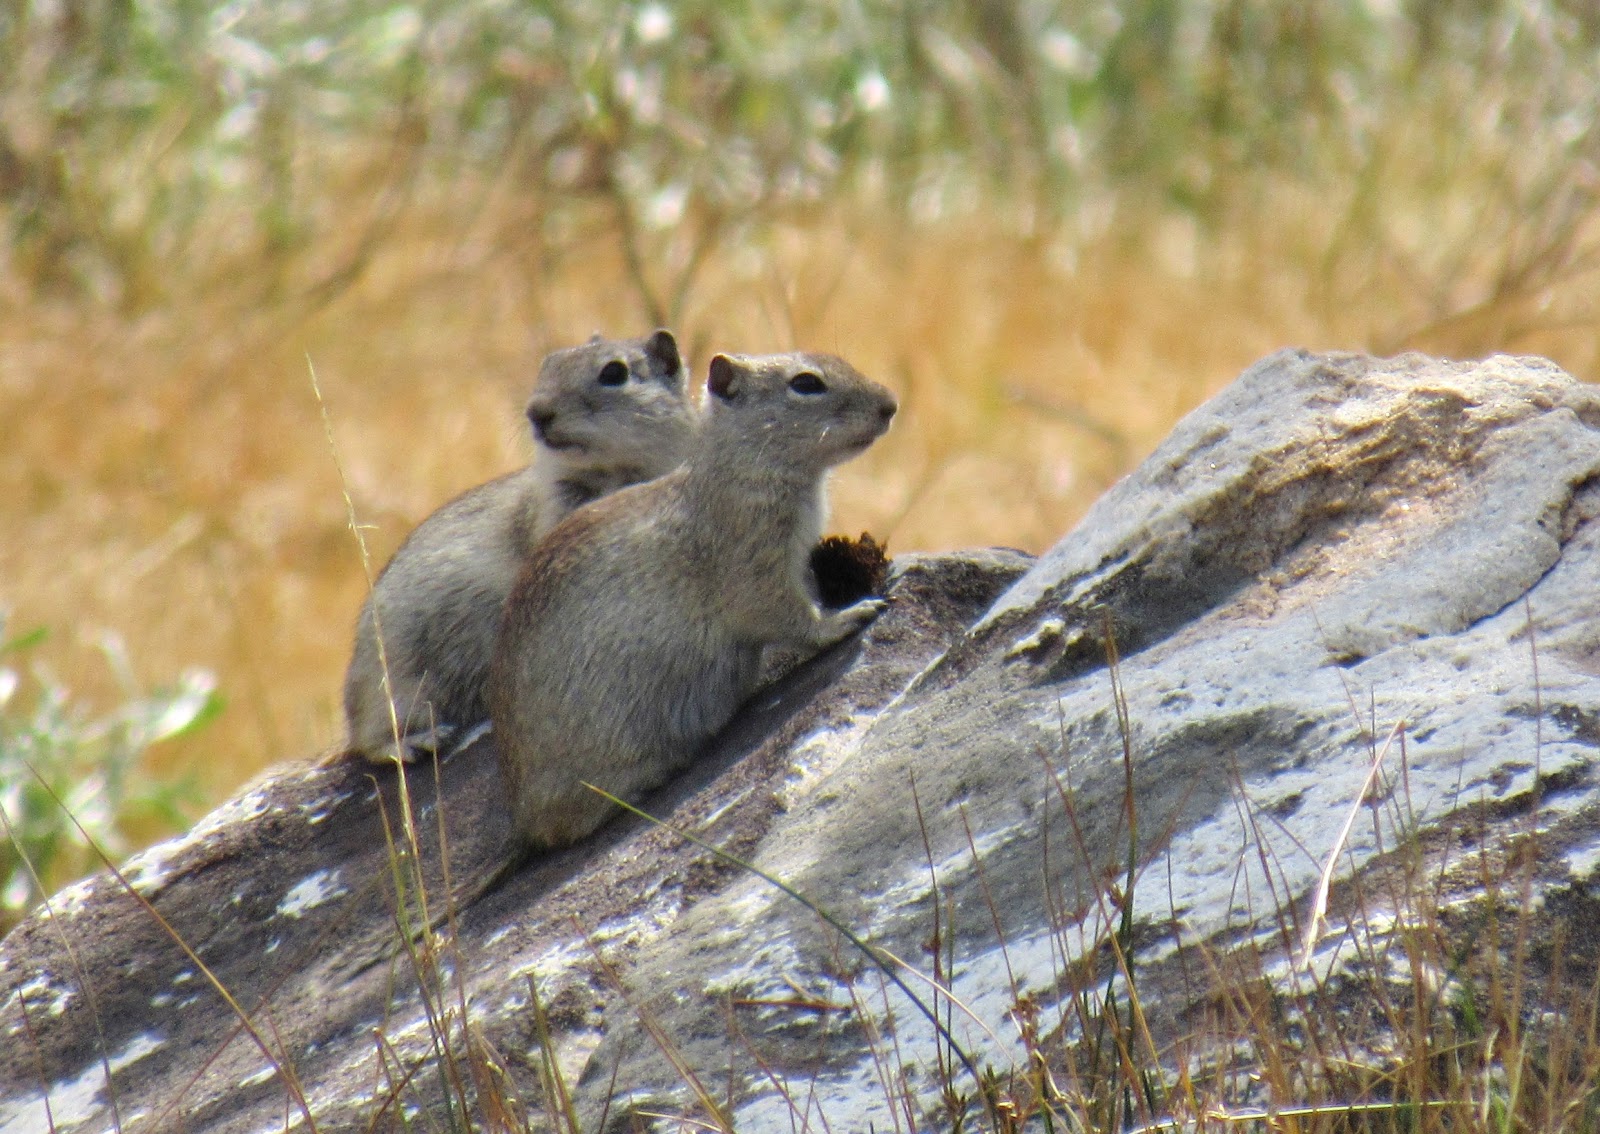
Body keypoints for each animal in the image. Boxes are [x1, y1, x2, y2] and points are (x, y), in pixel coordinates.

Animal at [342, 330, 697, 765]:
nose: (536, 412)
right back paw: (417, 742)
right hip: (397, 682)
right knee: (369, 743)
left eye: (615, 372)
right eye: (548, 363)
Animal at [487, 350, 897, 849]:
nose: (890, 404)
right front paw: (850, 615)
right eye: (806, 383)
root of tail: (522, 821)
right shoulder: (759, 576)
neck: (733, 470)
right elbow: (796, 621)